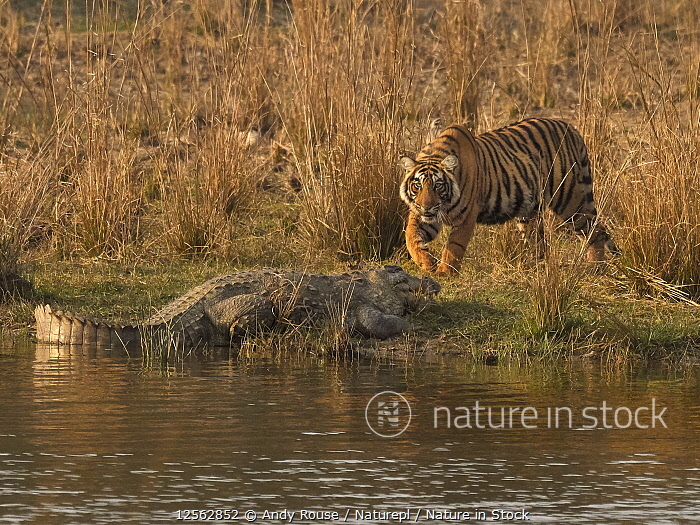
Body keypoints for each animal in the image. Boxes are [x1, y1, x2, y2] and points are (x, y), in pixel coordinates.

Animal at [399, 117, 616, 275]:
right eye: (417, 186)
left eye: (438, 186)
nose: (427, 207)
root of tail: (571, 129)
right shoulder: (421, 215)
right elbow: (411, 237)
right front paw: (426, 263)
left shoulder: (466, 217)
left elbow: (454, 247)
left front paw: (445, 272)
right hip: (529, 212)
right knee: (539, 242)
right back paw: (536, 268)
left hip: (570, 199)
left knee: (595, 230)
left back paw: (595, 266)